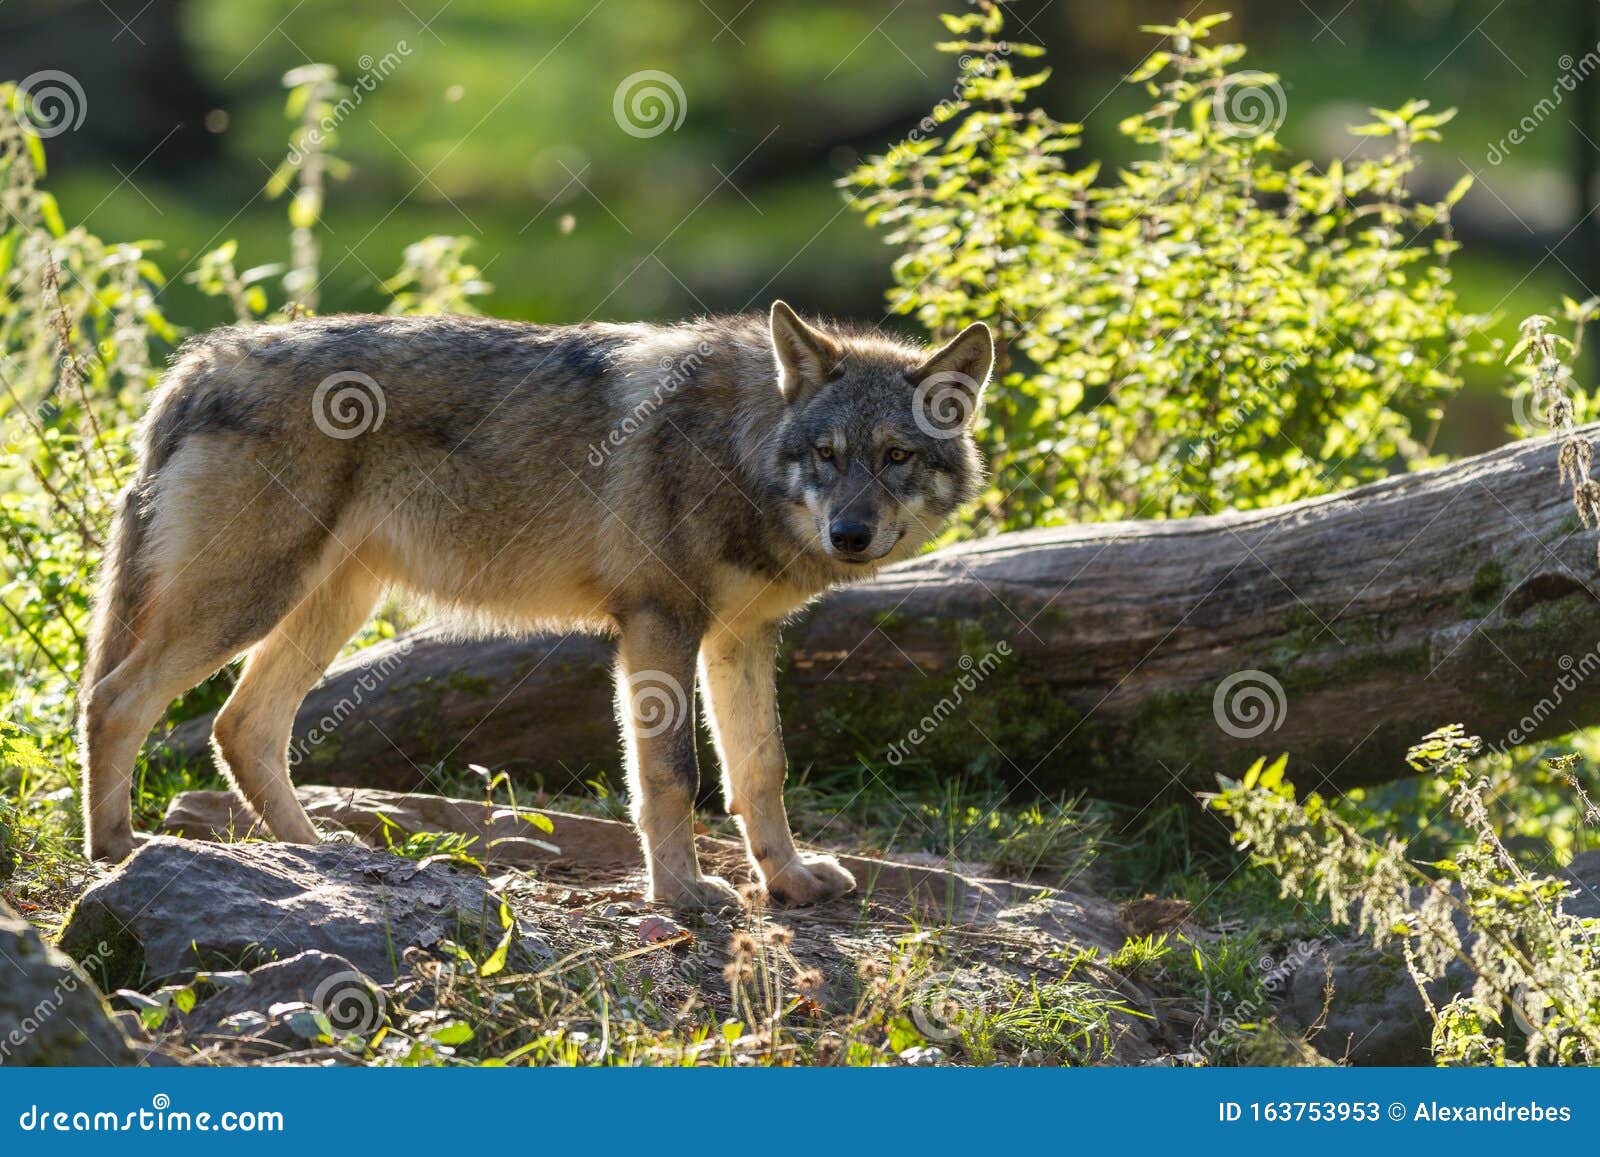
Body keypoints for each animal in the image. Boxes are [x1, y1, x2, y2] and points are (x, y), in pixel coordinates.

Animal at [78, 302, 992, 909]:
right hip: (250, 601)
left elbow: (759, 770)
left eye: (897, 457)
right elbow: (671, 775)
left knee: (242, 725)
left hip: (325, 608)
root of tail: (204, 358)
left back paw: (318, 856)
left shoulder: (742, 637)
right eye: (828, 454)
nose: (850, 533)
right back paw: (117, 848)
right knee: (114, 700)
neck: (741, 446)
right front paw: (684, 896)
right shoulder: (658, 624)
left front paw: (791, 879)